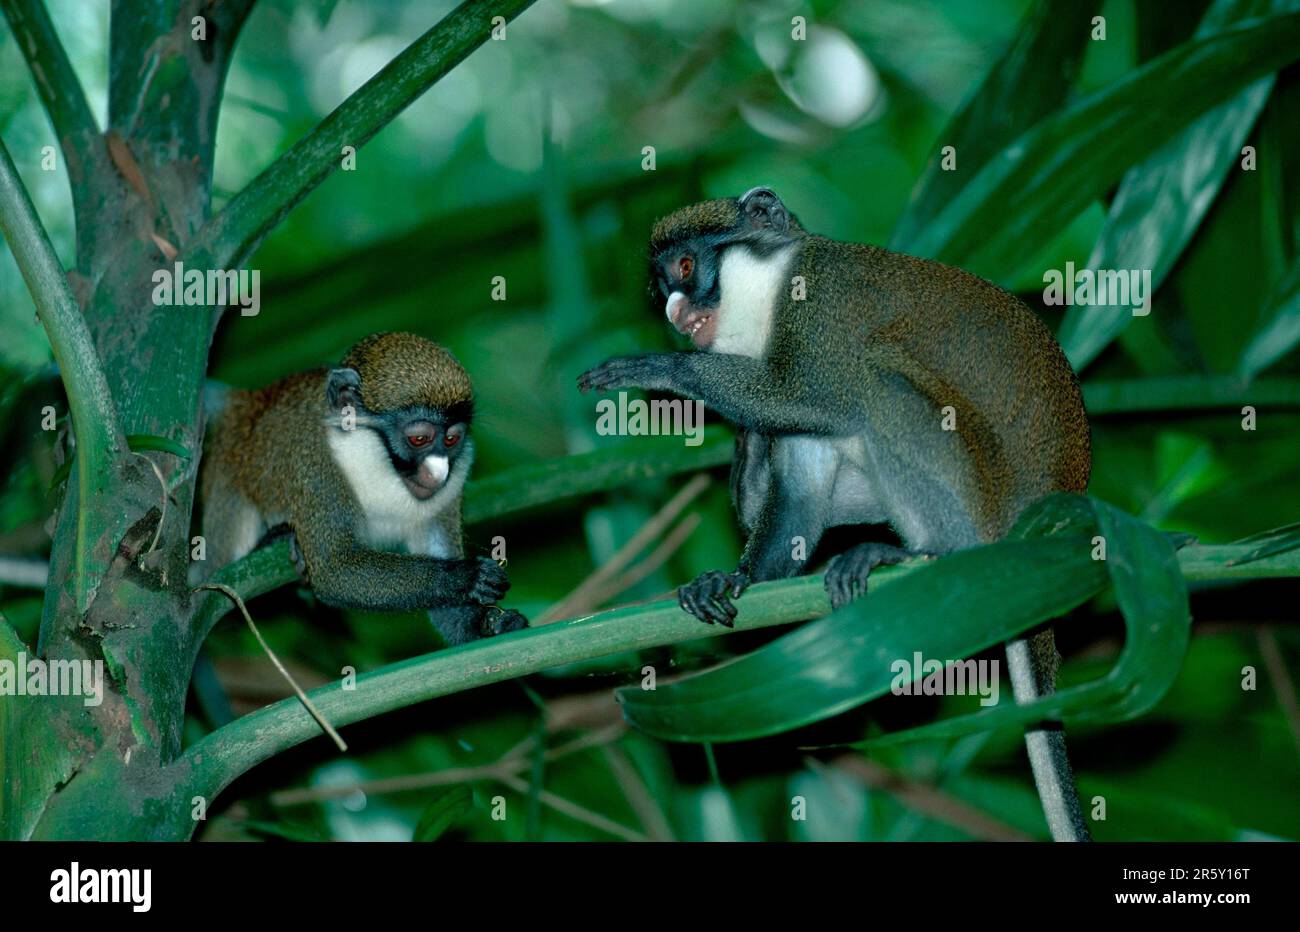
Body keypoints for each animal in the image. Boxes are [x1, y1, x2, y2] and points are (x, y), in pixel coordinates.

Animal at [201, 331, 527, 646]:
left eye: (451, 440)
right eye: (419, 439)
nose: (439, 472)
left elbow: (450, 617)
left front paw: (494, 626)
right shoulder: (314, 461)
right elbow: (336, 569)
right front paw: (467, 576)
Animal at [577, 187, 1091, 840]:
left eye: (687, 268)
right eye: (660, 285)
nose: (674, 311)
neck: (770, 290)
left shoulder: (818, 306)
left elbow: (814, 394)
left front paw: (665, 370)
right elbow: (795, 486)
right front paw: (738, 576)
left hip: (983, 486)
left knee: (875, 377)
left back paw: (931, 549)